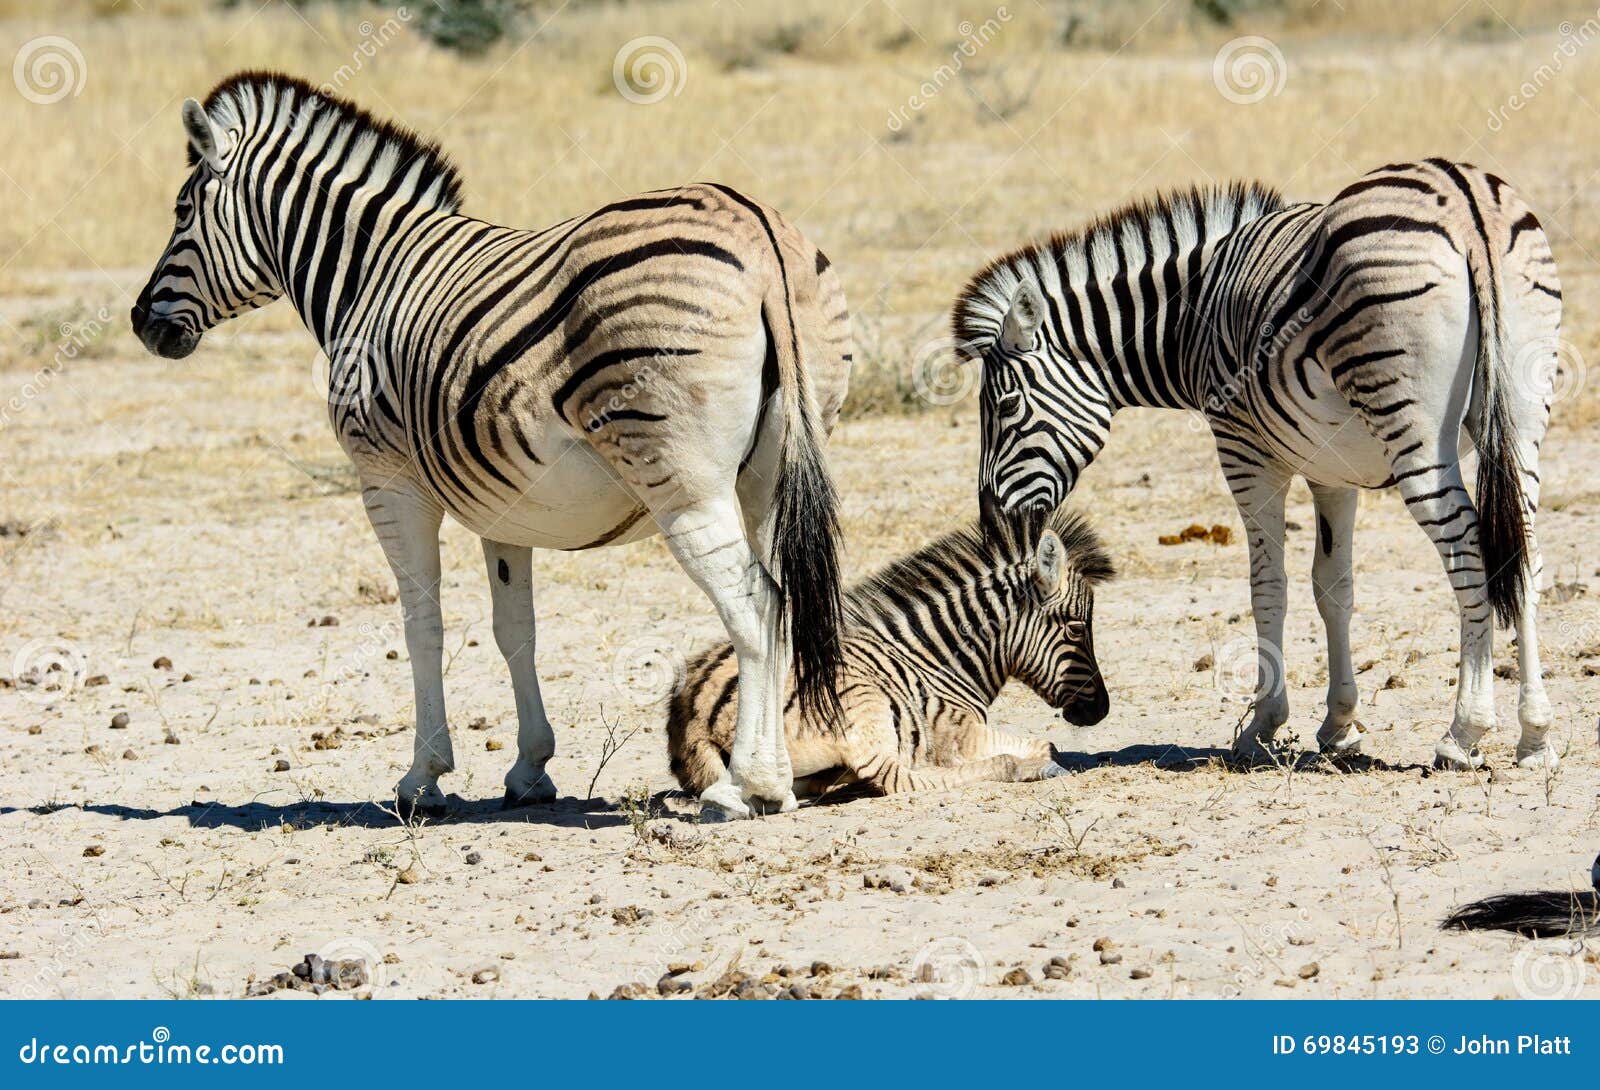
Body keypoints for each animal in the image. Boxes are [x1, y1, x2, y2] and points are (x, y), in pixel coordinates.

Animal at [129, 72, 853, 820]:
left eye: (181, 210)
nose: (138, 321)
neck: (369, 277)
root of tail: (757, 234)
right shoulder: (504, 502)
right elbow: (516, 630)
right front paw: (530, 768)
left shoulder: (388, 481)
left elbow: (422, 623)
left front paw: (422, 777)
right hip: (767, 474)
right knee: (785, 597)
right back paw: (773, 777)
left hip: (681, 480)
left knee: (756, 602)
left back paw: (747, 785)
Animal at [667, 506, 1113, 799]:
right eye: (1076, 627)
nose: (1102, 711)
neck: (937, 657)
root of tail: (696, 718)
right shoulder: (959, 731)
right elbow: (1046, 745)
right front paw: (1043, 761)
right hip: (860, 700)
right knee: (895, 778)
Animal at [956, 160, 1560, 772]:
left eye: (1005, 407)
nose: (992, 527)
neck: (1189, 316)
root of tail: (1463, 200)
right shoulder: (1331, 471)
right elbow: (1332, 587)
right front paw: (1339, 725)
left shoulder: (1244, 450)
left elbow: (1267, 585)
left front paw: (1264, 724)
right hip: (1522, 419)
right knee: (1526, 556)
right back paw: (1534, 735)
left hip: (1414, 430)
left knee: (1470, 554)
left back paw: (1464, 731)